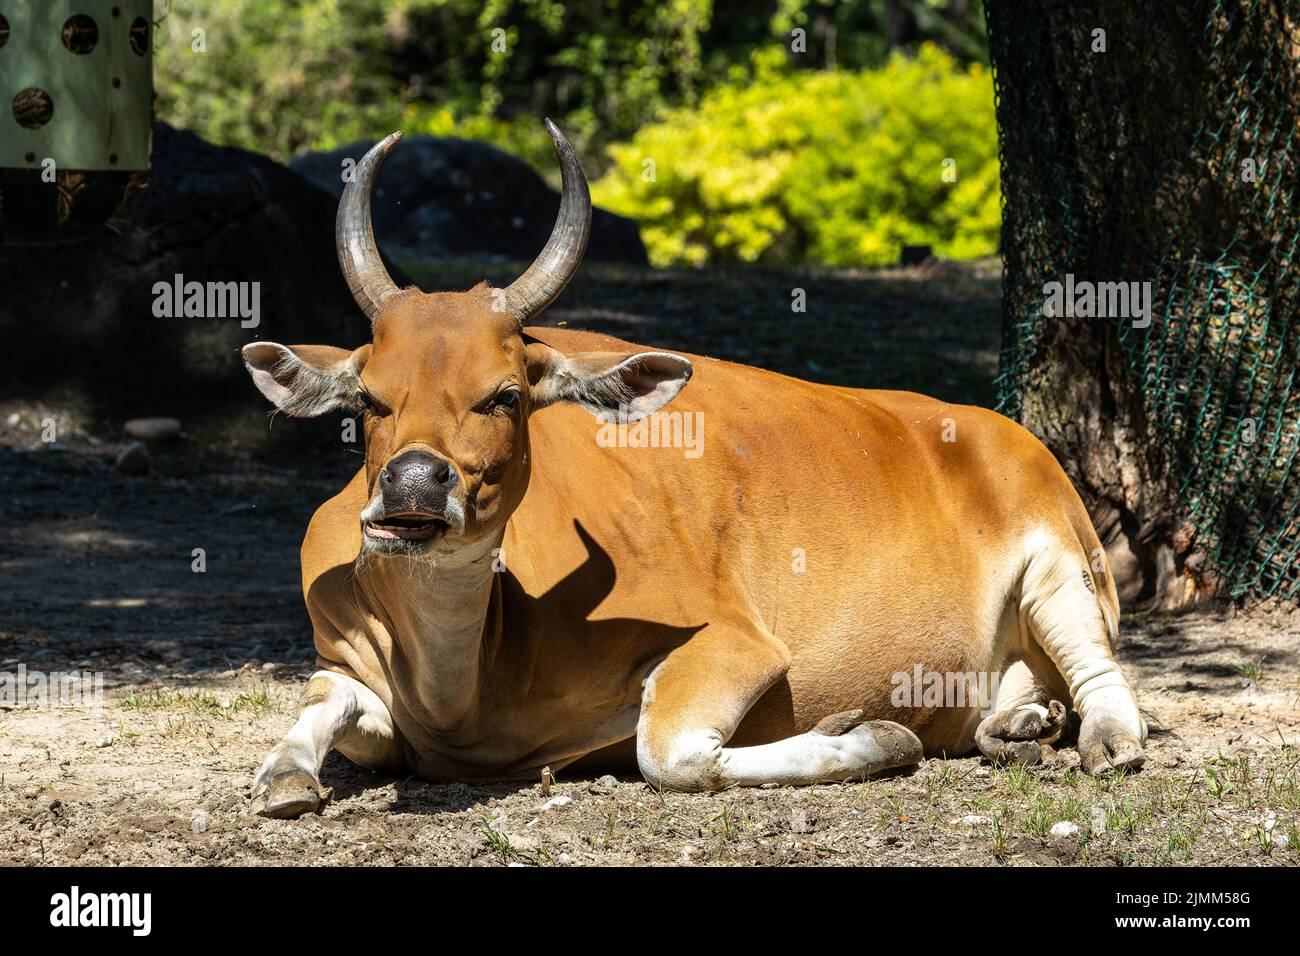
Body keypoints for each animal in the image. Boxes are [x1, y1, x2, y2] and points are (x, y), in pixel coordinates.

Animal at [243, 120, 1147, 818]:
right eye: (369, 400)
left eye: (504, 395)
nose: (412, 487)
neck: (470, 679)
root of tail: (1002, 433)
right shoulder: (346, 658)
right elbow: (319, 707)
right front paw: (285, 776)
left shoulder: (734, 646)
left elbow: (669, 753)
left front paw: (867, 735)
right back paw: (1018, 728)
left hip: (1066, 564)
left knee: (1103, 675)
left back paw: (1105, 739)